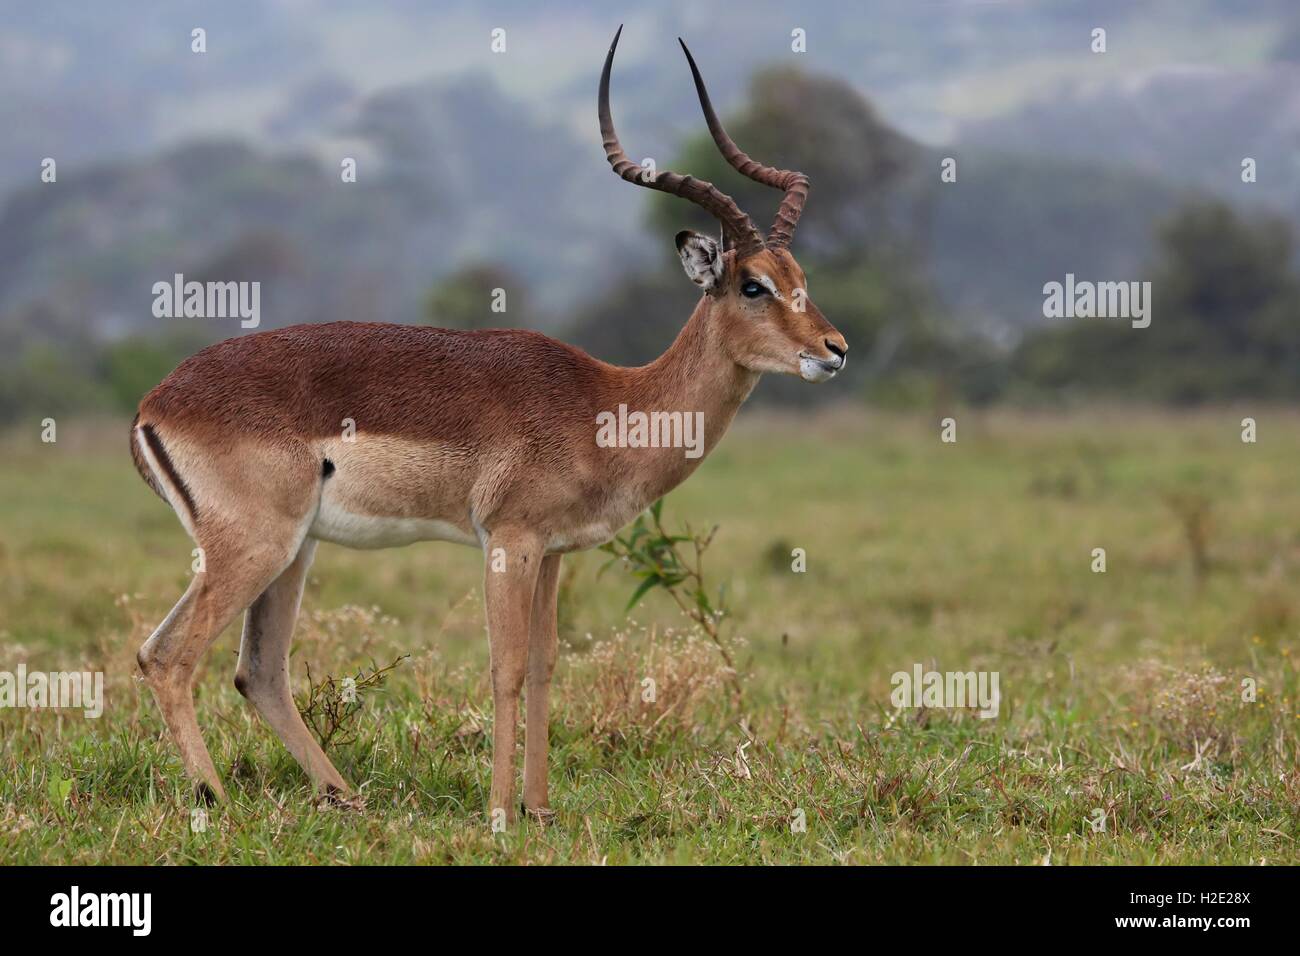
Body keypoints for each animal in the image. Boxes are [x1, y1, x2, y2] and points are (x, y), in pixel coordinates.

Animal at [129, 27, 847, 821]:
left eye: (800, 279)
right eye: (753, 285)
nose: (834, 350)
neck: (606, 404)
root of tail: (157, 402)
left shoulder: (554, 551)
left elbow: (544, 663)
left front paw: (538, 809)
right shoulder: (508, 540)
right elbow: (505, 667)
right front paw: (501, 813)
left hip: (292, 550)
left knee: (253, 669)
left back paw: (344, 797)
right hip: (256, 547)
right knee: (171, 656)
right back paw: (214, 798)